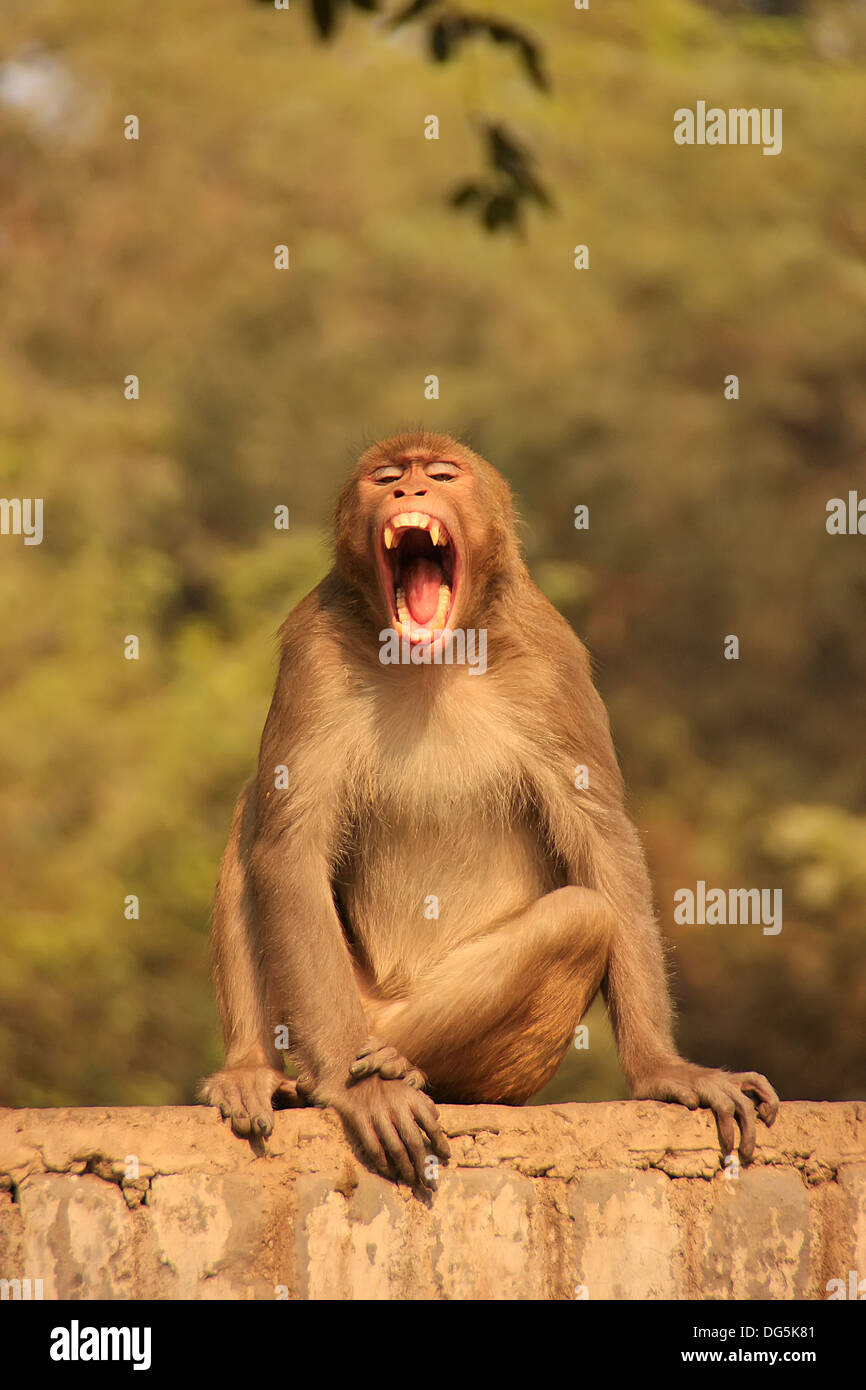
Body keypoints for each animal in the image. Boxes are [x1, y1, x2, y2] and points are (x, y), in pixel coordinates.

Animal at [199, 430, 779, 1188]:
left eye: (442, 476)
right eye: (387, 477)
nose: (409, 491)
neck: (434, 657)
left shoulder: (547, 654)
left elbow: (603, 843)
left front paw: (664, 1069)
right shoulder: (313, 647)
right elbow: (287, 846)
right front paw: (357, 1093)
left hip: (500, 1066)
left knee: (581, 917)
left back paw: (401, 1062)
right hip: (340, 998)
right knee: (255, 824)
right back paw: (267, 1071)